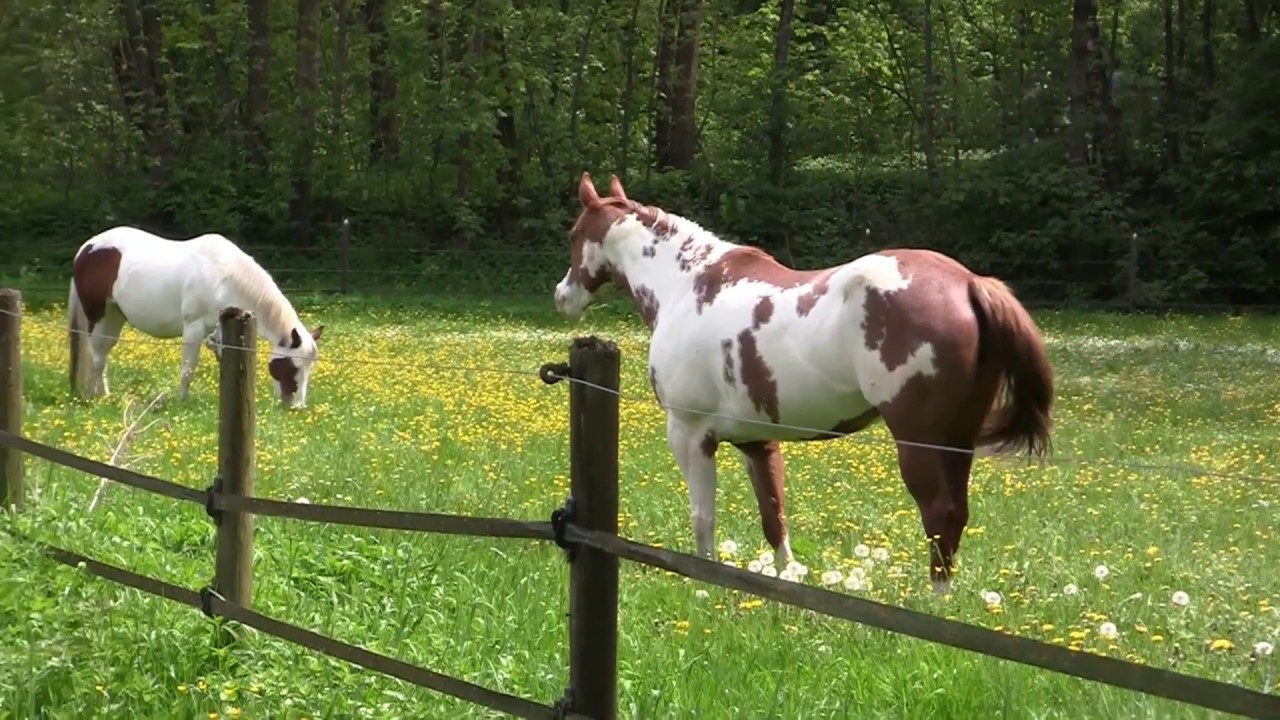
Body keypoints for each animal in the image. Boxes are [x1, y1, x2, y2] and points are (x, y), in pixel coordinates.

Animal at [66, 225, 324, 409]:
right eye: (293, 367)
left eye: (310, 368)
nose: (297, 407)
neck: (223, 277)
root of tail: (86, 248)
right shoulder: (193, 327)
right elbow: (188, 369)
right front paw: (182, 402)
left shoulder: (221, 331)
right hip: (98, 315)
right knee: (97, 356)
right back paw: (94, 398)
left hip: (114, 315)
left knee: (104, 352)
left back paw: (104, 395)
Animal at [553, 172, 1054, 595]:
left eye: (574, 235)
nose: (562, 296)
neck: (685, 285)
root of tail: (969, 282)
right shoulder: (756, 441)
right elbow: (774, 517)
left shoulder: (690, 434)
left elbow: (703, 518)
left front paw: (706, 589)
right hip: (958, 441)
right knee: (956, 519)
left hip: (920, 443)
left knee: (939, 515)